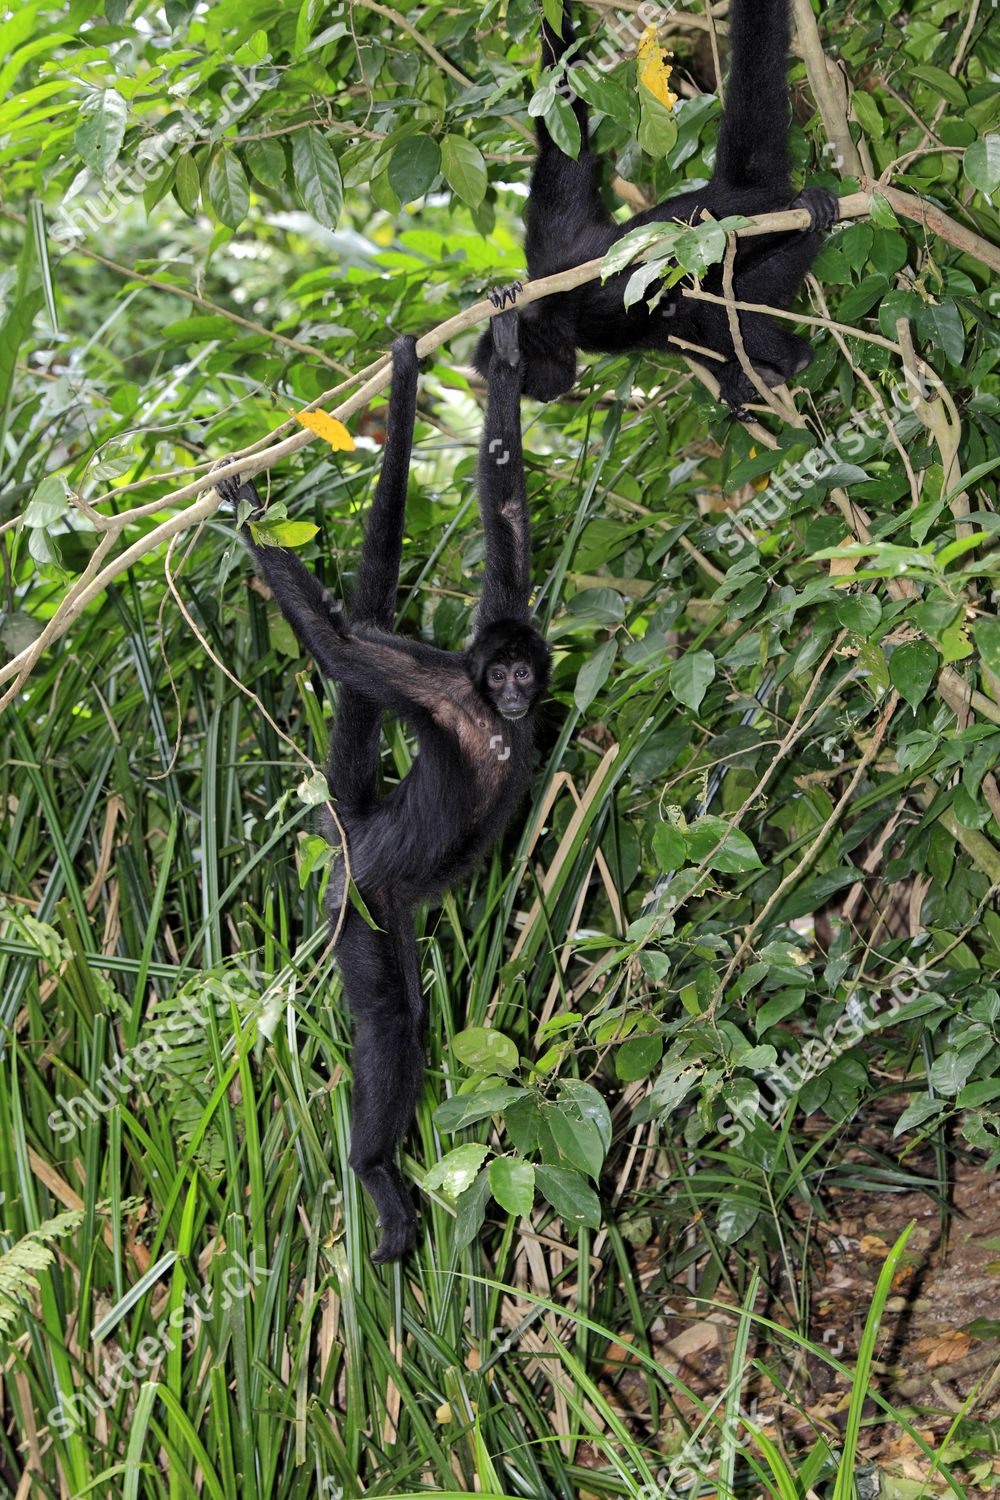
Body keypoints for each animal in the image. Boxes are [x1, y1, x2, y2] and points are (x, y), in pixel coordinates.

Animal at [217, 295, 550, 1262]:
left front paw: (506, 359)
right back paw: (372, 1169)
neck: (490, 726)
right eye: (497, 673)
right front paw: (248, 514)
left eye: (525, 669)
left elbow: (506, 512)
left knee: (407, 1002)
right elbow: (341, 647)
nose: (515, 691)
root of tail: (358, 837)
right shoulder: (437, 687)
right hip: (354, 905)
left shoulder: (502, 618)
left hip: (388, 910)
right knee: (390, 1021)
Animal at [473, 0, 839, 418]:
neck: (544, 308)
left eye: (523, 377)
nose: (543, 395)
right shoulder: (551, 229)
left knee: (711, 303)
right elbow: (564, 134)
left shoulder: (587, 301)